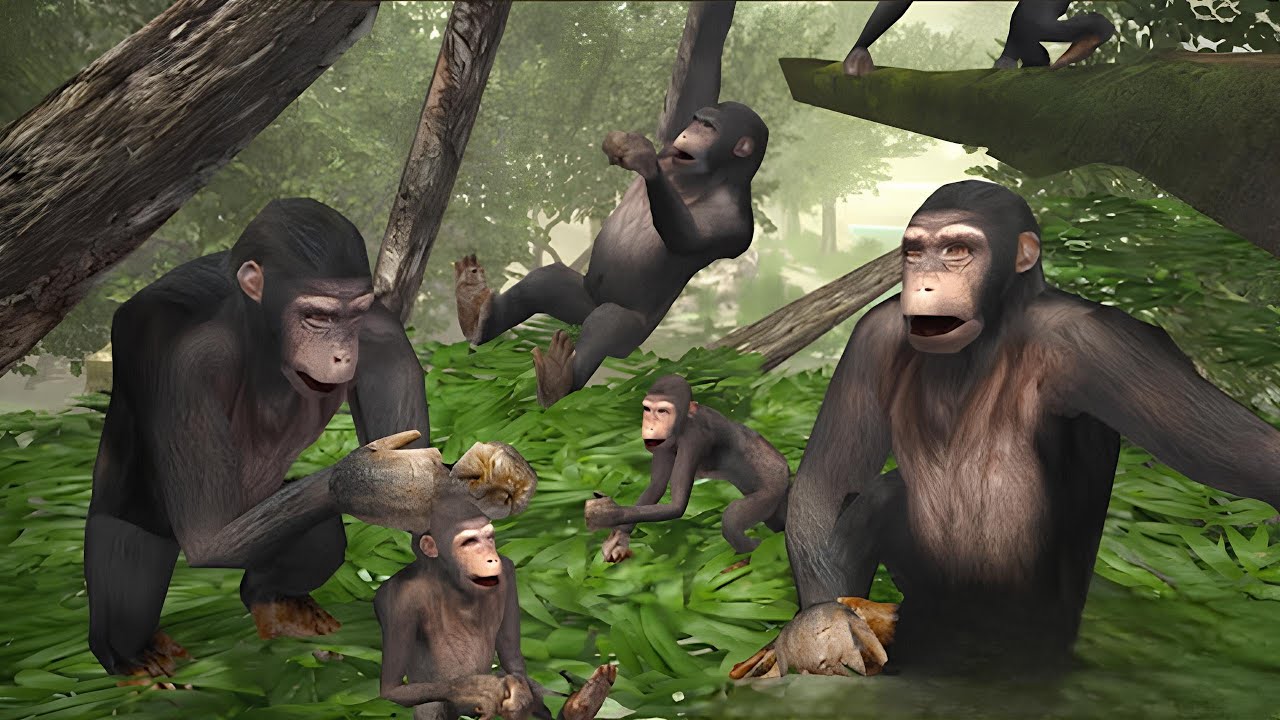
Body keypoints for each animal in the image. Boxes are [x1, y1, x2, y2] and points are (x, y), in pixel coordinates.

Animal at [85, 198, 535, 681]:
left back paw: (274, 604)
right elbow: (207, 536)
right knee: (125, 598)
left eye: (352, 317)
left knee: (318, 532)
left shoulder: (382, 337)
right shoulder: (191, 368)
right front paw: (372, 482)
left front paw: (492, 476)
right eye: (317, 317)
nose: (341, 353)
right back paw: (136, 653)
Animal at [376, 493, 617, 720]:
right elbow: (392, 689)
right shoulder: (397, 599)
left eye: (489, 538)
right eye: (470, 542)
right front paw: (479, 689)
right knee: (432, 705)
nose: (491, 558)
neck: (448, 577)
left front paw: (518, 694)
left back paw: (582, 702)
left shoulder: (508, 572)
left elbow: (512, 659)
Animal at [453, 2, 768, 408]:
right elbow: (700, 54)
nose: (688, 134)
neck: (707, 176)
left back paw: (558, 380)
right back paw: (479, 318)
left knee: (607, 323)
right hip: (579, 299)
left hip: (631, 335)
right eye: (698, 121)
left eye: (709, 128)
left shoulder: (737, 225)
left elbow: (690, 241)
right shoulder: (681, 116)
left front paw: (642, 158)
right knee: (544, 282)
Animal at [583, 375, 790, 568]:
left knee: (732, 520)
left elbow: (676, 505)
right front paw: (618, 538)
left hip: (773, 484)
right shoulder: (662, 445)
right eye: (647, 410)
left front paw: (606, 514)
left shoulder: (693, 440)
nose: (650, 425)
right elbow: (656, 487)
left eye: (663, 411)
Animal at [731, 180, 1280, 678]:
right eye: (915, 252)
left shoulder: (1098, 343)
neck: (988, 334)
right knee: (877, 499)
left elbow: (1238, 451)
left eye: (957, 251)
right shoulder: (873, 337)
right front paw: (818, 628)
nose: (924, 282)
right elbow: (829, 481)